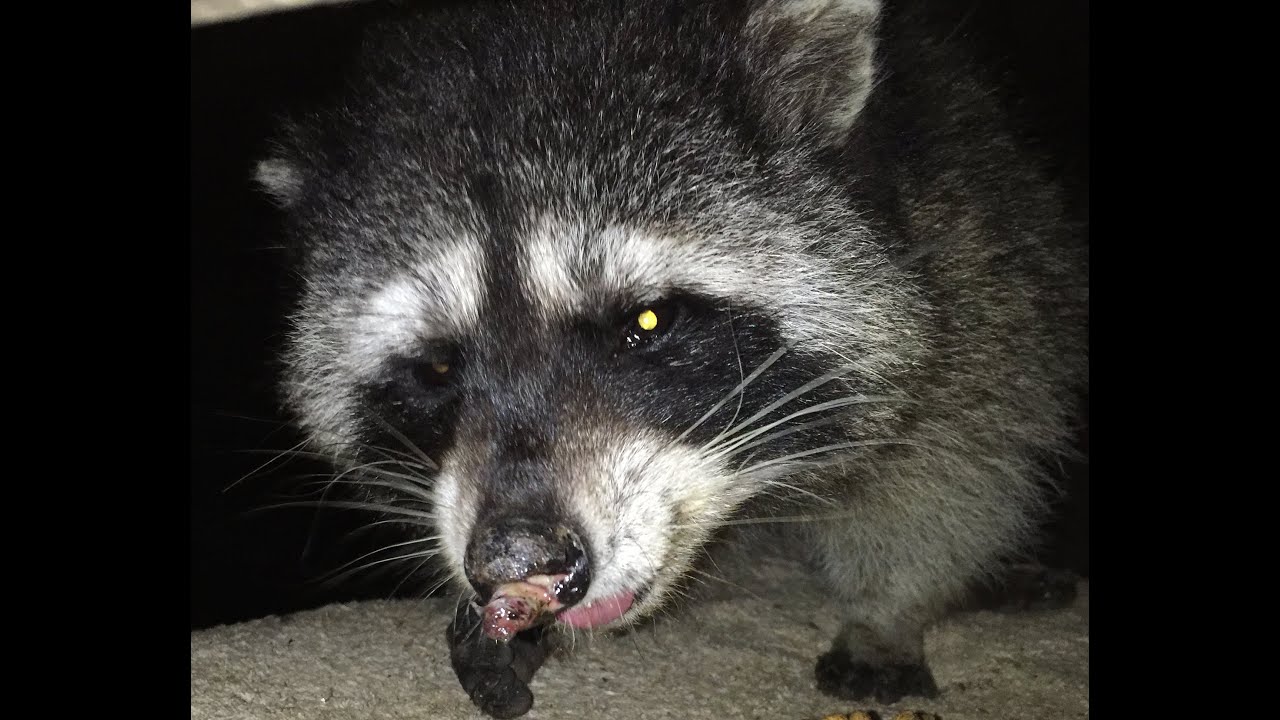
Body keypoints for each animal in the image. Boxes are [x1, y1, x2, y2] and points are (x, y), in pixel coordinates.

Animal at [254, 0, 1087, 717]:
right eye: (435, 368)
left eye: (646, 321)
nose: (516, 558)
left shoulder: (970, 237)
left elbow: (959, 454)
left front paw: (890, 608)